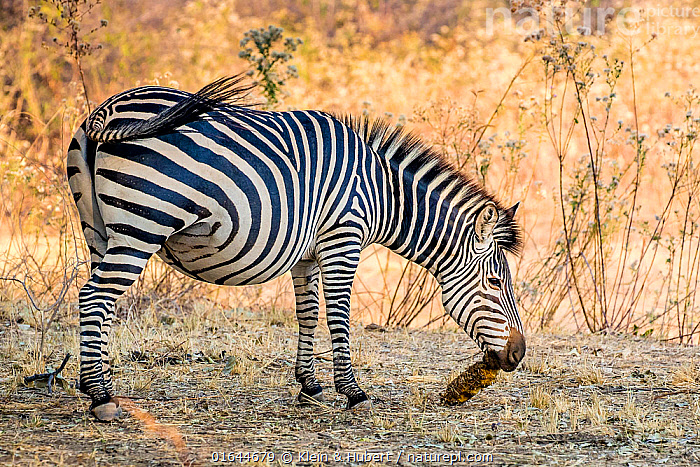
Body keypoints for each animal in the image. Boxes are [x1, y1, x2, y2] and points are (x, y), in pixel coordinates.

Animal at [67, 76, 526, 421]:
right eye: (495, 282)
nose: (519, 354)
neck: (382, 193)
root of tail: (107, 110)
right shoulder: (344, 237)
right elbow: (338, 314)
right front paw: (354, 393)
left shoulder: (307, 252)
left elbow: (307, 314)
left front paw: (309, 387)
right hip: (142, 224)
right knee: (95, 297)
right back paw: (100, 397)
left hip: (99, 230)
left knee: (101, 303)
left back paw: (99, 383)